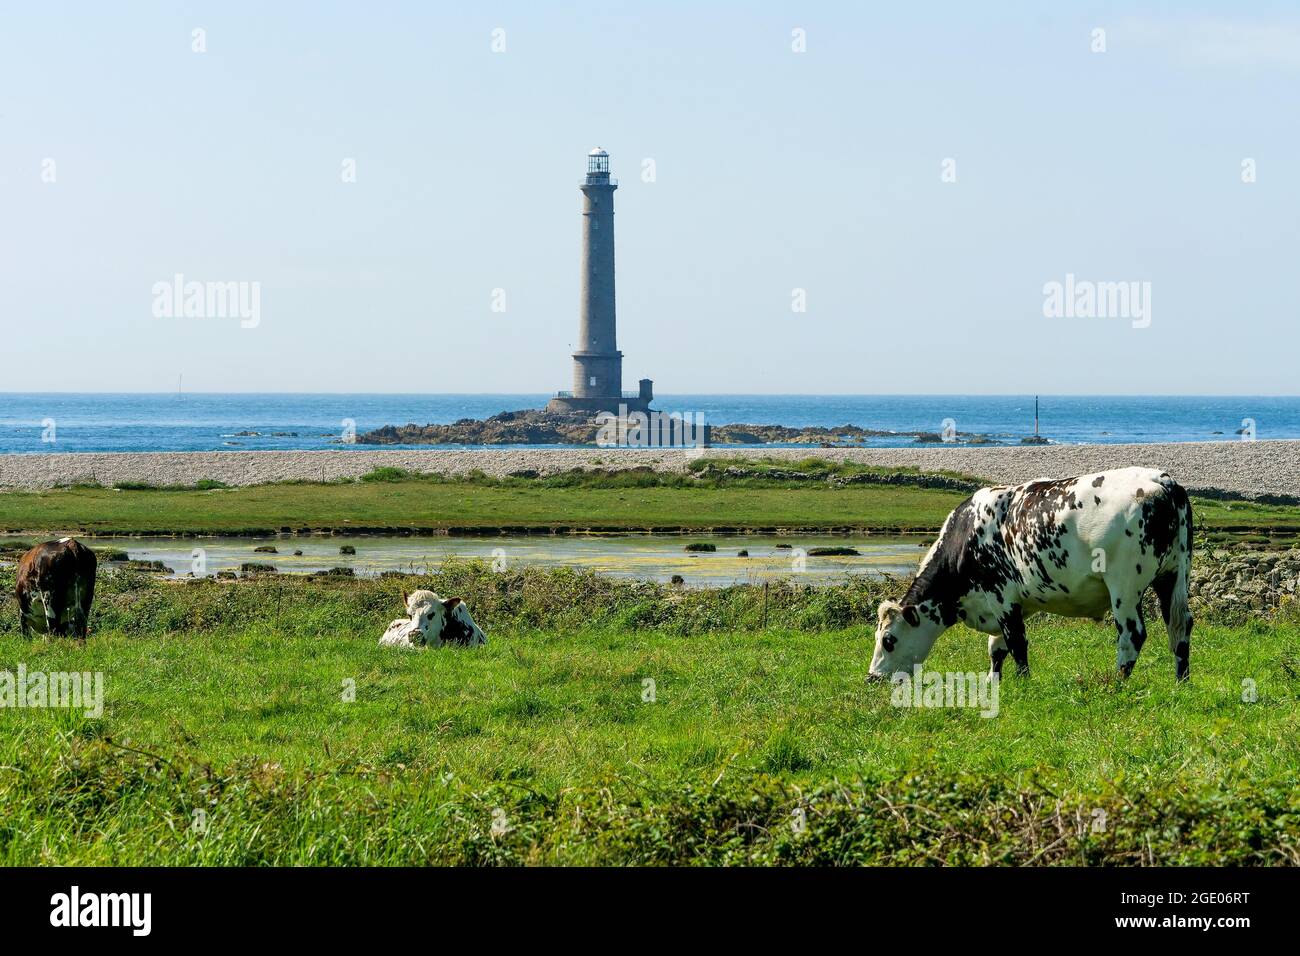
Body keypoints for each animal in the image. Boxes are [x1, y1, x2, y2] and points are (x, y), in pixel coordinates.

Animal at [868, 467, 1193, 683]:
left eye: (888, 639)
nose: (872, 677)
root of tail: (1161, 480)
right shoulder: (1008, 604)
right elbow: (996, 648)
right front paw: (994, 682)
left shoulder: (1000, 594)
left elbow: (1016, 643)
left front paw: (1024, 684)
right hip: (1175, 575)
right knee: (1180, 627)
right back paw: (1181, 682)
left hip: (1124, 586)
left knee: (1132, 634)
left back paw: (1118, 683)